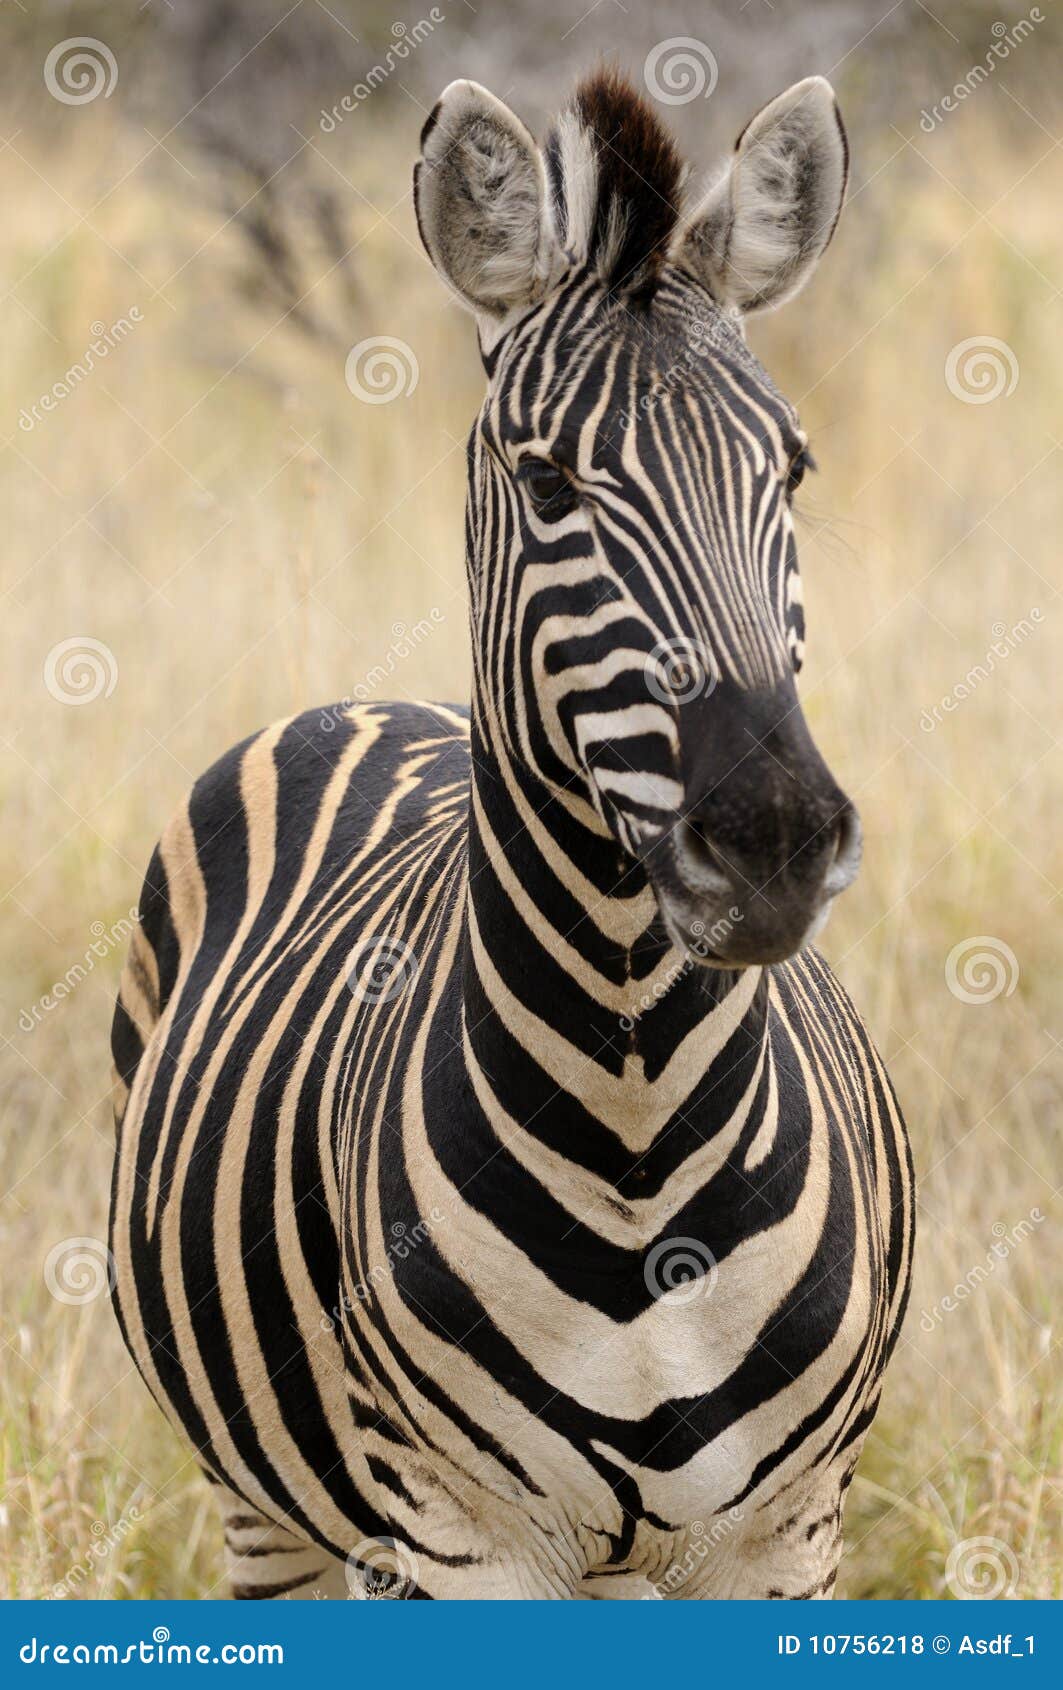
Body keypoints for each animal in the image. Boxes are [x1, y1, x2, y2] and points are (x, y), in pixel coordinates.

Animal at [110, 68, 914, 1600]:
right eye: (547, 488)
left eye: (791, 471)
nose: (774, 839)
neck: (640, 1136)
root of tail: (373, 698)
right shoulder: (457, 1530)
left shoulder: (783, 1537)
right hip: (269, 1512)